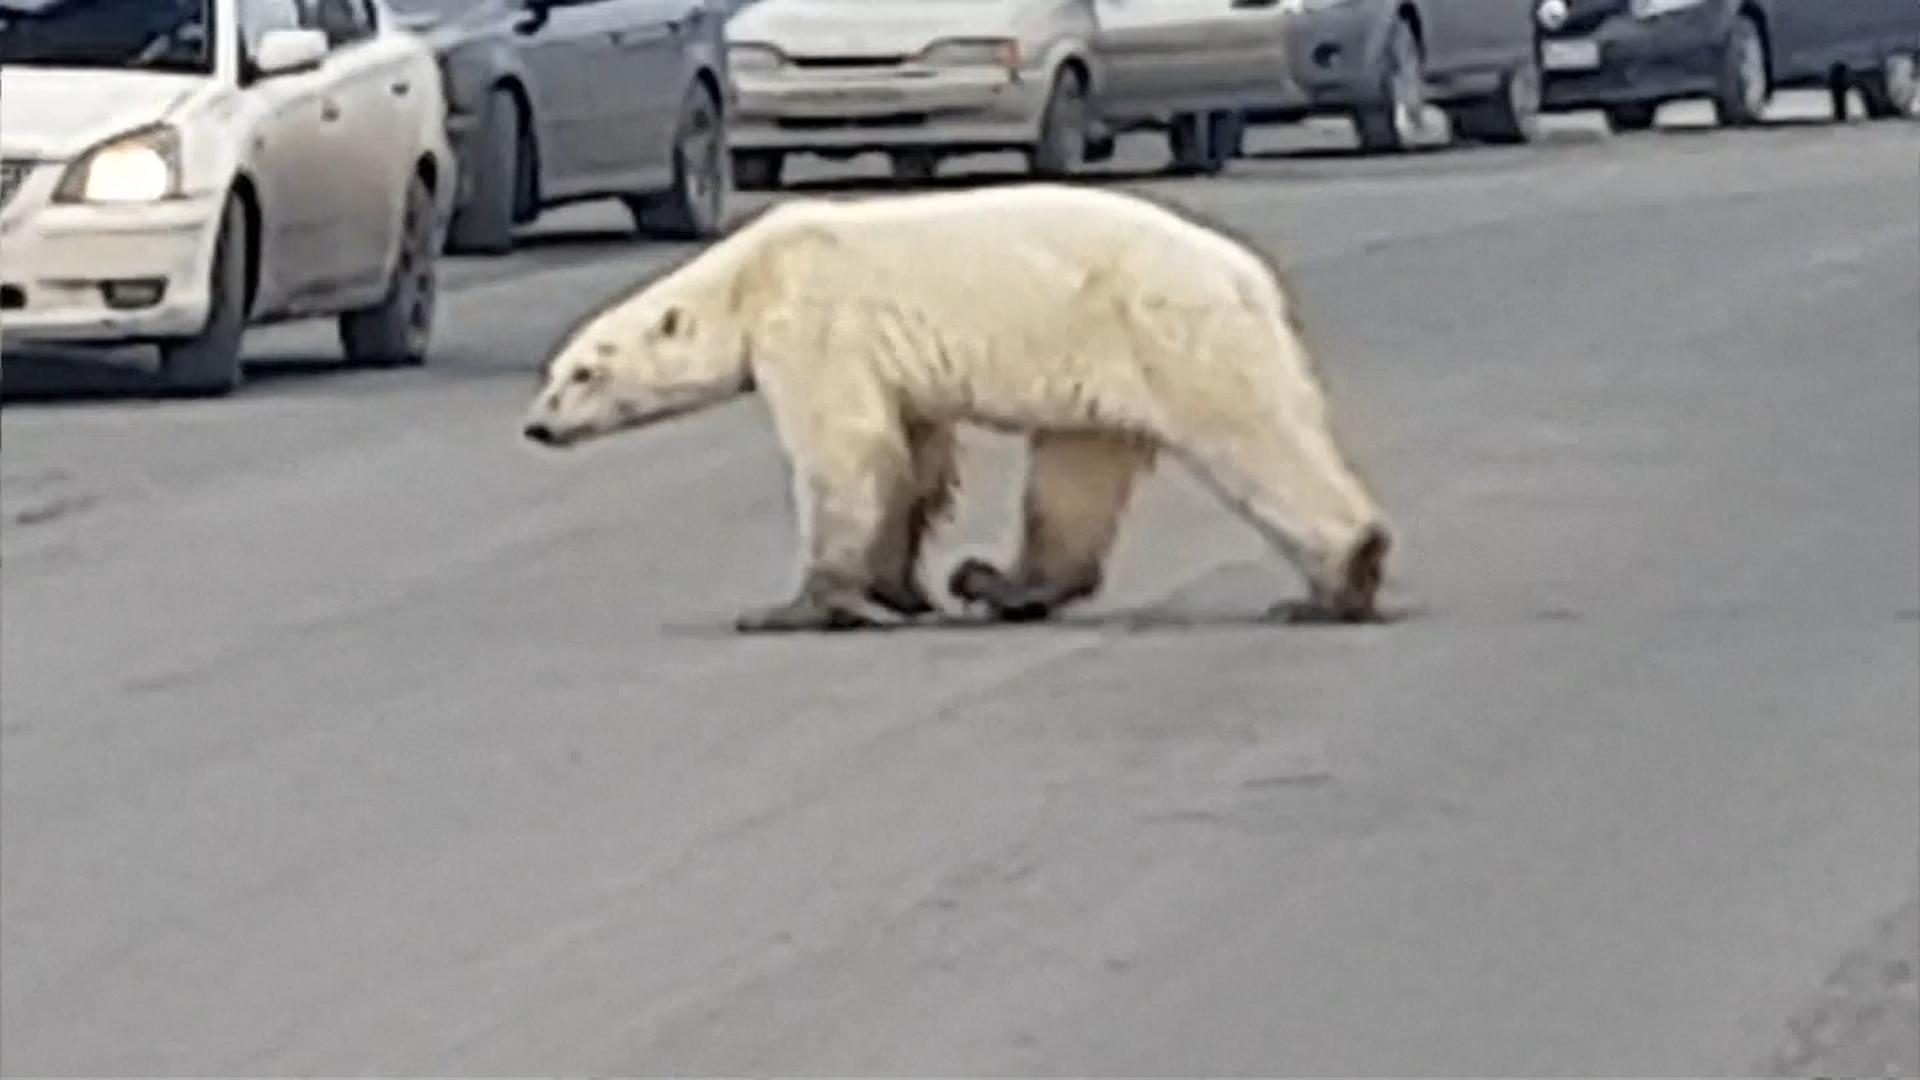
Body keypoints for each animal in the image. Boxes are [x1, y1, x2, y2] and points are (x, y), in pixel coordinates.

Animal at [520, 182, 1393, 632]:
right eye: (554, 371)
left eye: (585, 373)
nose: (536, 425)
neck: (751, 272)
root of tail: (1248, 274)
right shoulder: (884, 361)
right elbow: (912, 456)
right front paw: (899, 588)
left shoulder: (816, 322)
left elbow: (843, 449)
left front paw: (801, 606)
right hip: (1107, 356)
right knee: (1075, 470)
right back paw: (1004, 585)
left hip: (1167, 329)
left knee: (1253, 437)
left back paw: (1340, 579)